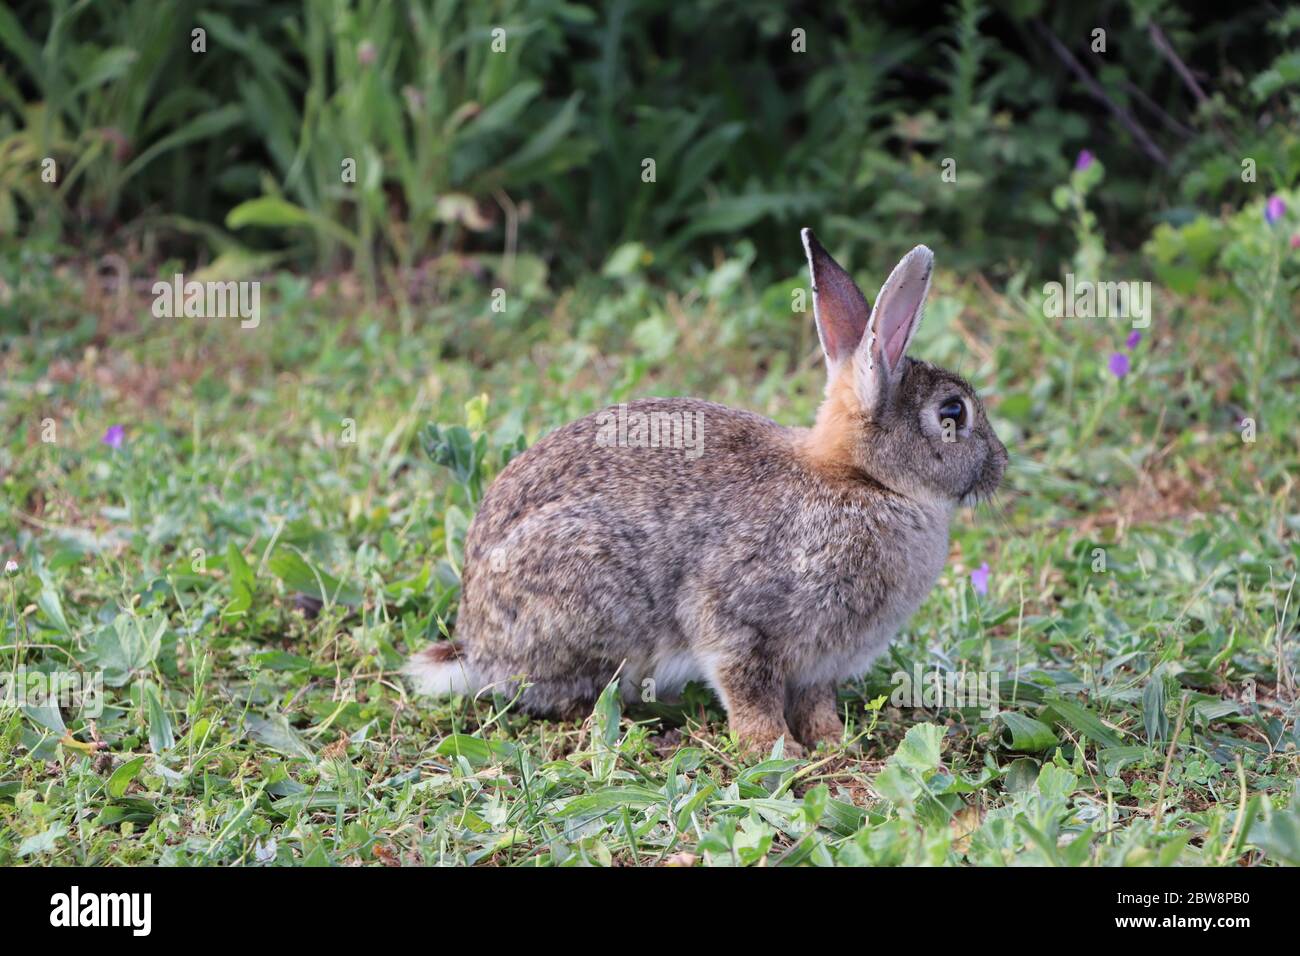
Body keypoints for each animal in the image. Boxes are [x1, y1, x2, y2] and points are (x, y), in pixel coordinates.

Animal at [405, 230, 1007, 757]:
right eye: (952, 413)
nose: (1000, 465)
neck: (860, 480)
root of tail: (478, 644)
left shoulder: (819, 666)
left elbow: (815, 703)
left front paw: (833, 741)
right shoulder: (735, 620)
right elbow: (747, 689)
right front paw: (776, 749)